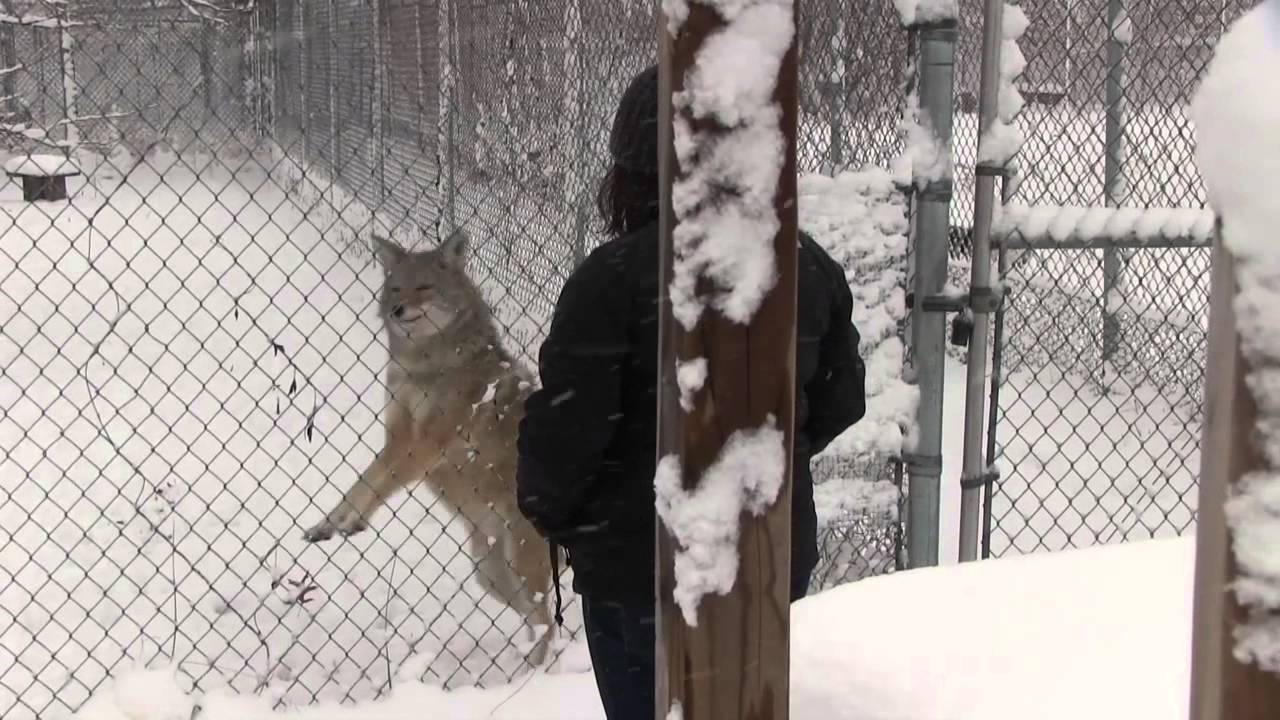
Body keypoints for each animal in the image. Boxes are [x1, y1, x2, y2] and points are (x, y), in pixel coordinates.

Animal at [302, 230, 556, 665]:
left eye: (423, 287)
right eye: (395, 288)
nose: (397, 310)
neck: (424, 364)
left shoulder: (425, 445)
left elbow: (376, 483)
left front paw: (343, 523)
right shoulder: (398, 437)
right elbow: (364, 482)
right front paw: (333, 524)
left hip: (520, 565)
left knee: (547, 622)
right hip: (489, 574)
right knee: (535, 619)